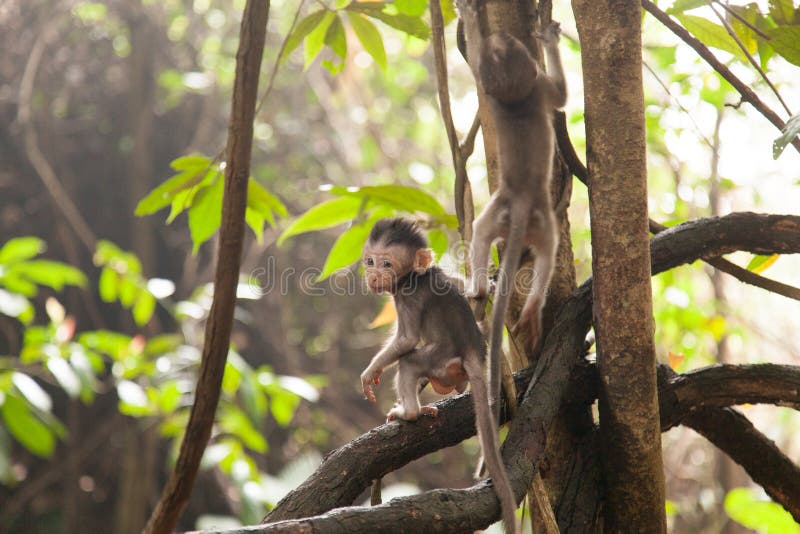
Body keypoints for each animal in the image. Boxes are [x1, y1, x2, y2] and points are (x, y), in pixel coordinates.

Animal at [359, 217, 518, 533]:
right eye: (370, 261)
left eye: (387, 264)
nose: (373, 275)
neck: (415, 276)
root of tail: (472, 351)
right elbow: (469, 290)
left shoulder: (407, 297)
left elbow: (406, 341)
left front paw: (371, 371)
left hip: (440, 361)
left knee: (409, 362)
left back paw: (410, 412)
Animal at [461, 8, 567, 427]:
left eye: (505, 47)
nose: (504, 36)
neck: (517, 99)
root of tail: (521, 201)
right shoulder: (541, 90)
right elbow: (563, 98)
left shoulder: (500, 91)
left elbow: (478, 73)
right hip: (543, 222)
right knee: (548, 255)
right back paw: (533, 308)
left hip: (496, 211)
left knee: (478, 232)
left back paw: (476, 288)